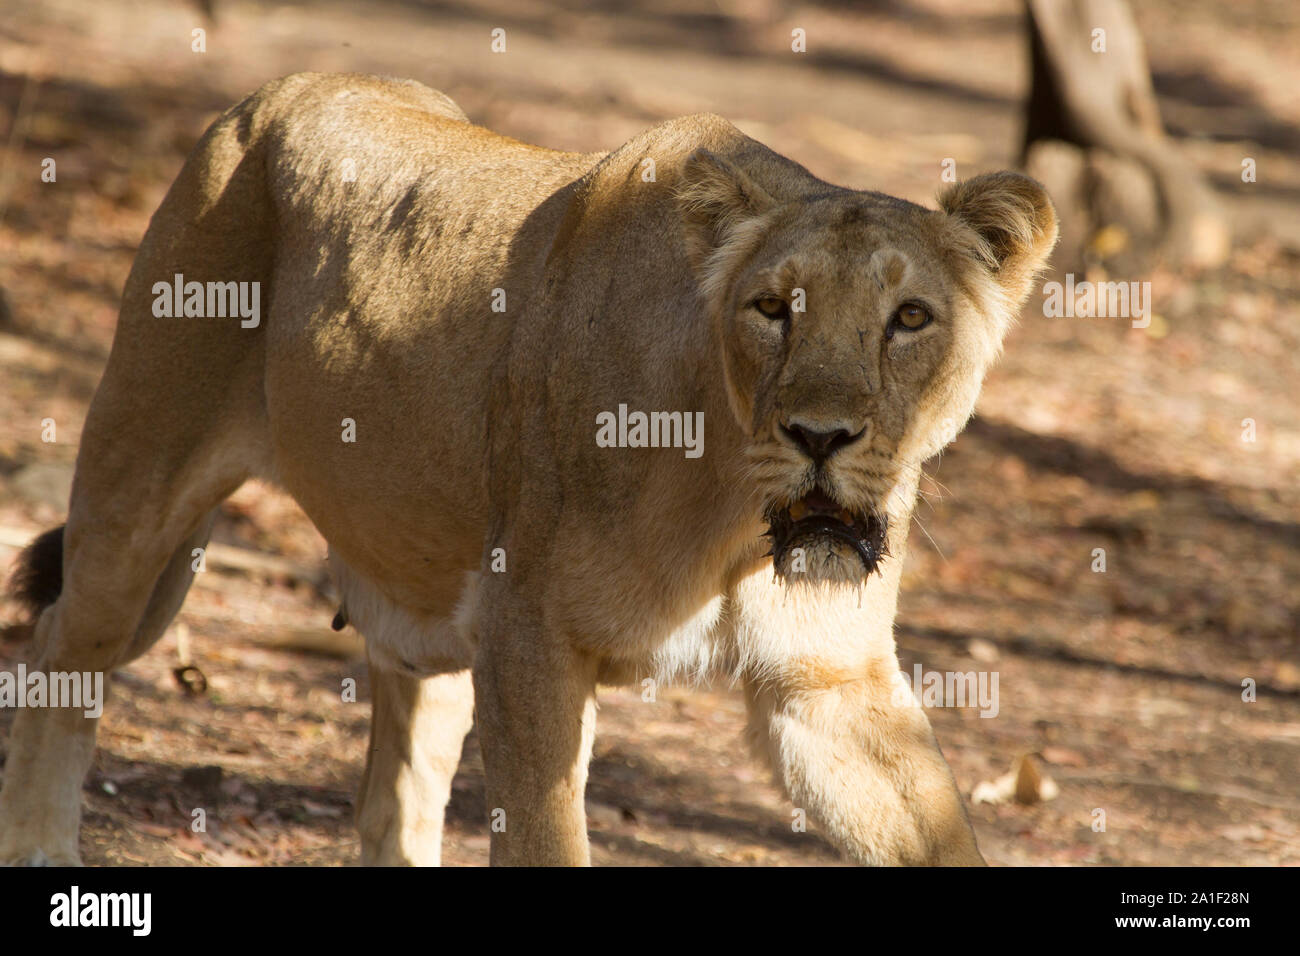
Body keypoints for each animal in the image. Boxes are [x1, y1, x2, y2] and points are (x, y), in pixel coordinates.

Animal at [0, 72, 1056, 866]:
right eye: (771, 308)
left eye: (910, 318)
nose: (821, 437)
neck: (727, 503)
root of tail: (273, 91)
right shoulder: (531, 641)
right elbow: (547, 839)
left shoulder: (826, 682)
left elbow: (942, 832)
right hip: (140, 500)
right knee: (54, 648)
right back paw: (42, 843)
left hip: (427, 604)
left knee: (395, 790)